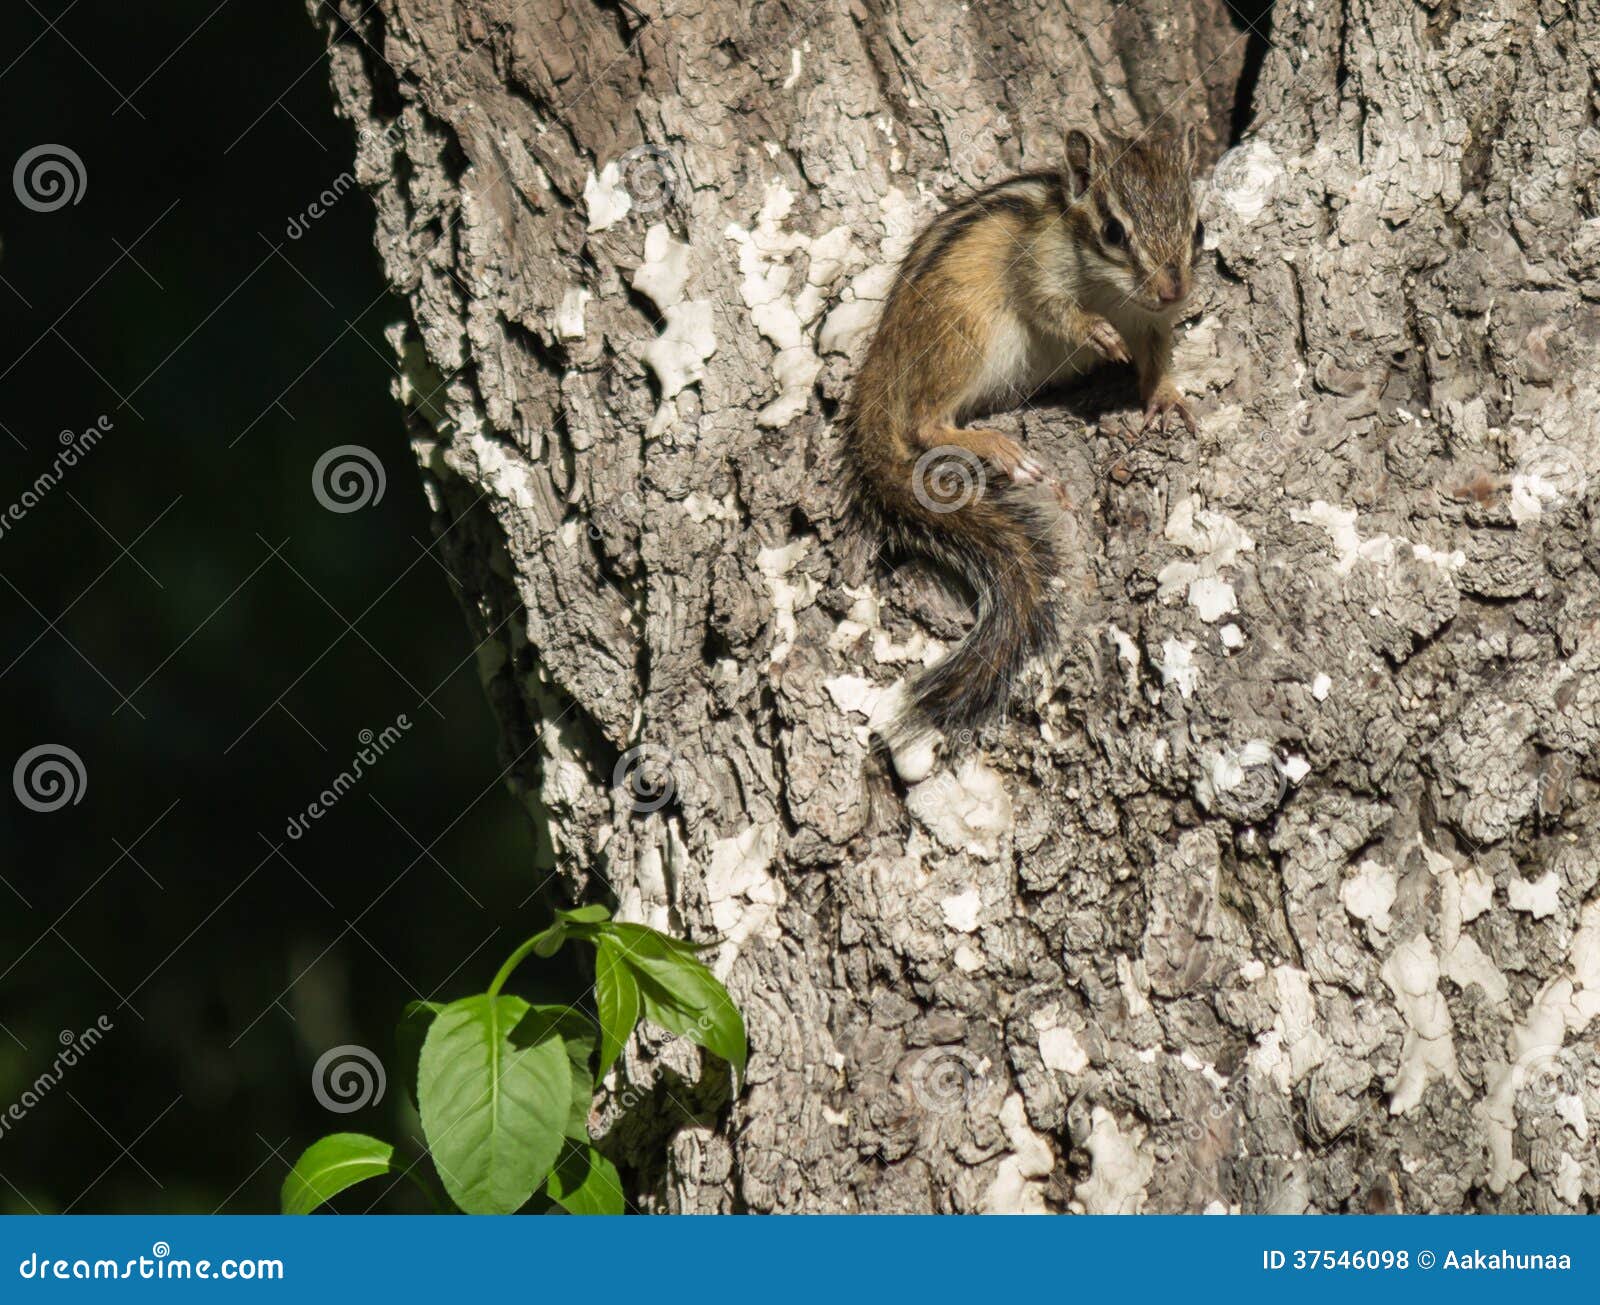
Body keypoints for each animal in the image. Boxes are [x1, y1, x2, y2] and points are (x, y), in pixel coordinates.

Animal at [842, 125, 1202, 743]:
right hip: (966, 332)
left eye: (1198, 227)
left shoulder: (1153, 322)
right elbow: (1051, 307)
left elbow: (1157, 358)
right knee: (924, 421)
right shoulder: (1036, 268)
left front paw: (1166, 397)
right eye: (1114, 231)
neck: (1114, 292)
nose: (1174, 289)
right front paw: (1094, 332)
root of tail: (882, 357)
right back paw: (1001, 448)